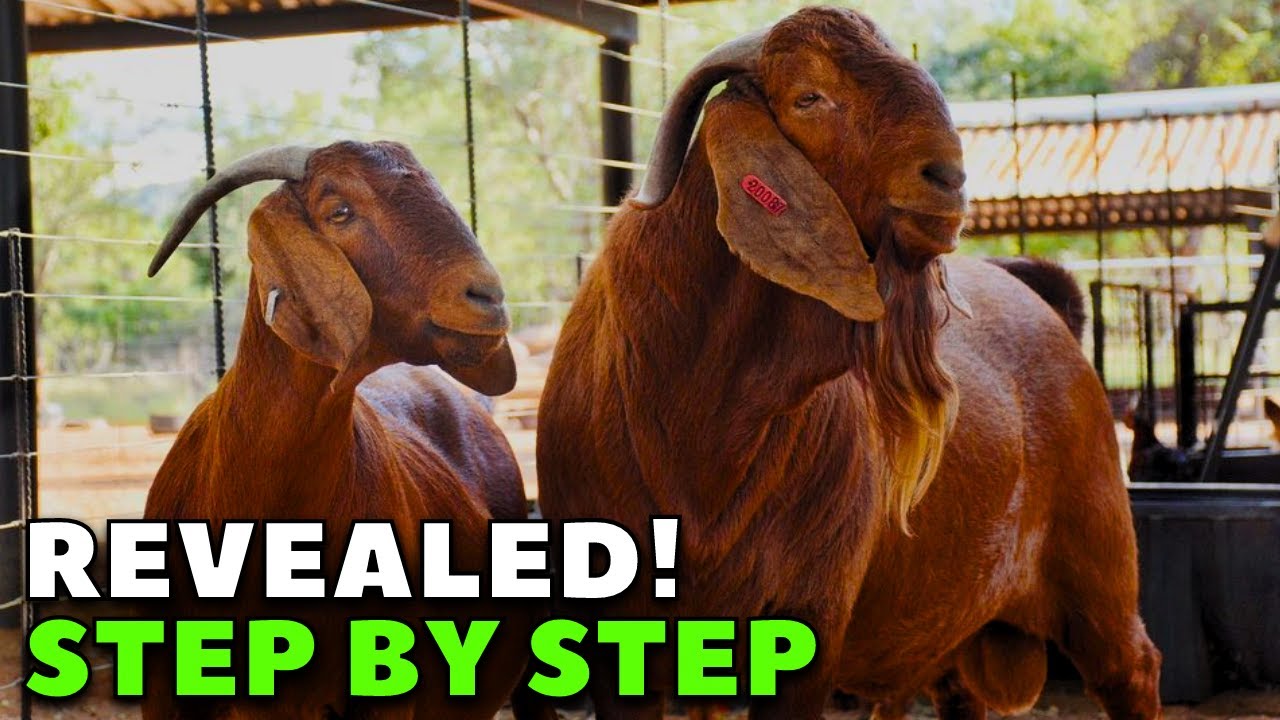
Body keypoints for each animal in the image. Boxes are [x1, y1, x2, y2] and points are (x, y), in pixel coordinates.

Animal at [535, 8, 1160, 719]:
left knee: (1132, 667)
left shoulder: (810, 619)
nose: (948, 178)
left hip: (1099, 562)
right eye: (808, 97)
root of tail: (1050, 307)